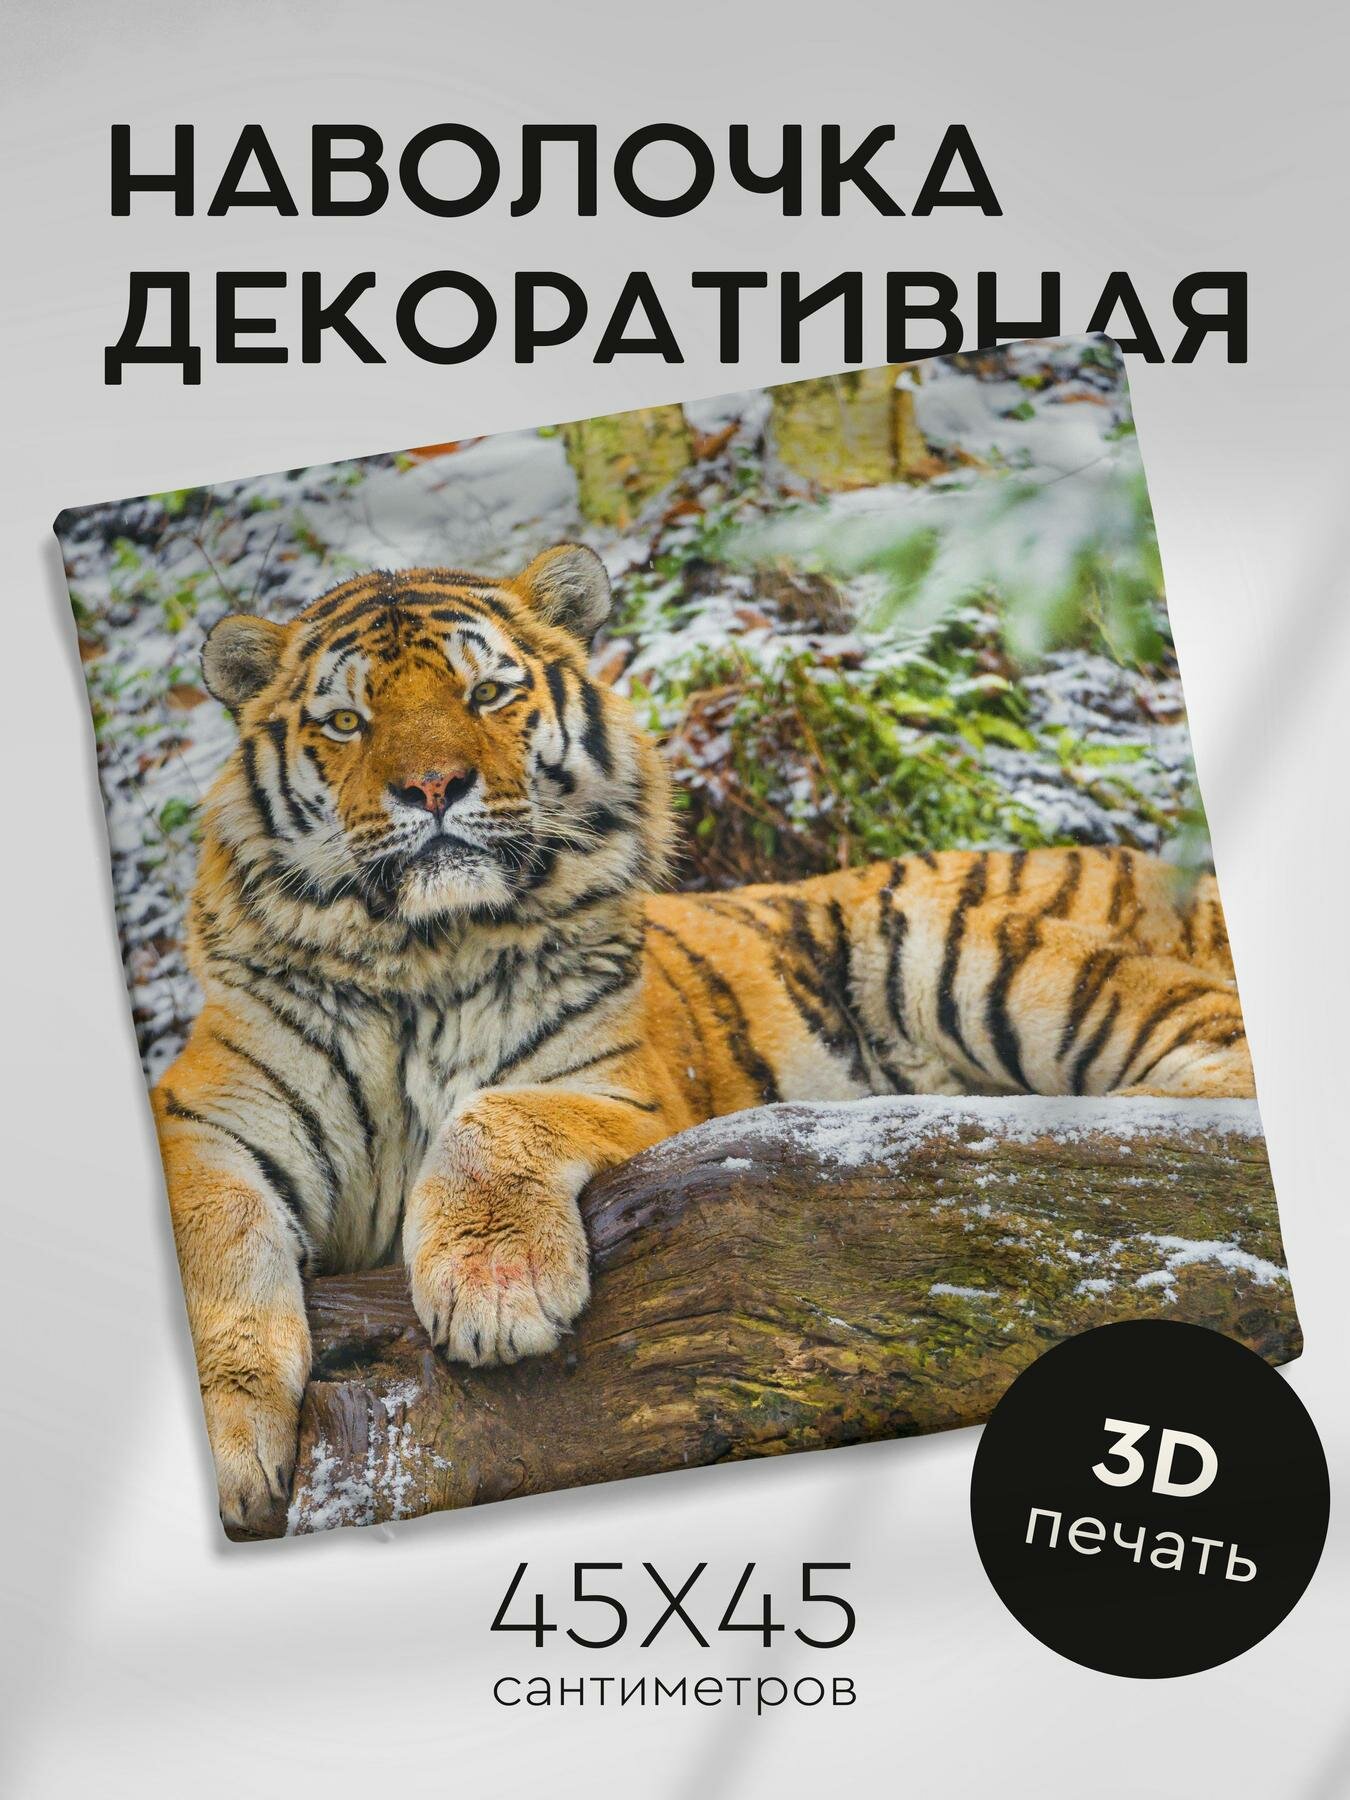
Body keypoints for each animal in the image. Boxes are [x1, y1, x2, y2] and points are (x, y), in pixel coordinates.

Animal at [156, 542, 1253, 1529]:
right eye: (347, 721)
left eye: (490, 693)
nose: (433, 788)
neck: (424, 958)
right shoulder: (203, 1120)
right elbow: (218, 1243)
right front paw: (230, 1453)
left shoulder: (632, 1091)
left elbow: (491, 1116)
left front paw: (497, 1293)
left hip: (964, 945)